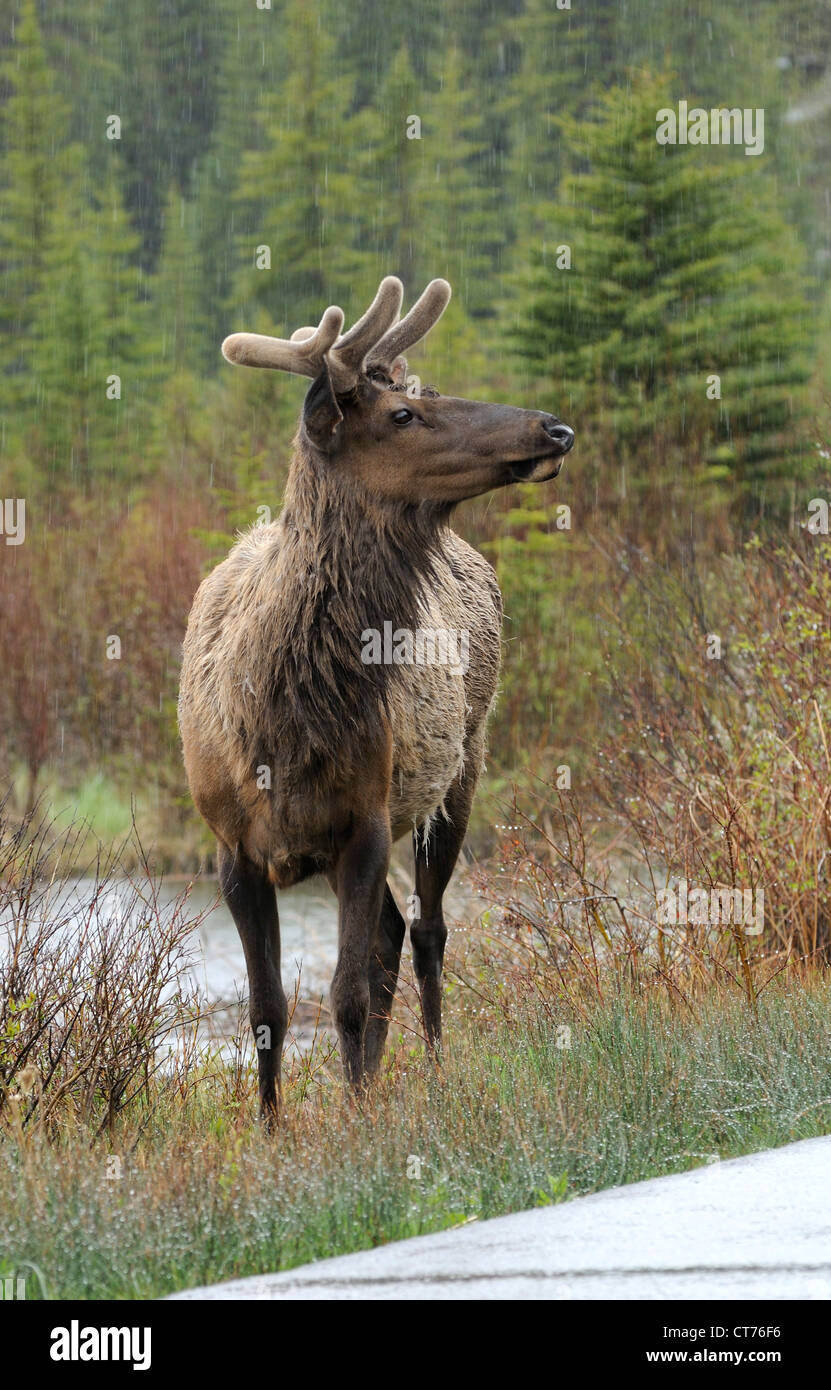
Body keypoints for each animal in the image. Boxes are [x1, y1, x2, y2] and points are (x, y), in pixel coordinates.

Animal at [178, 276, 573, 1120]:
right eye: (401, 414)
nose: (553, 427)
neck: (284, 719)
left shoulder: (361, 823)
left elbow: (347, 993)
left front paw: (359, 1121)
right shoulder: (234, 848)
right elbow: (267, 1009)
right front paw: (272, 1130)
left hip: (459, 774)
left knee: (425, 933)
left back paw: (431, 1074)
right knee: (396, 936)